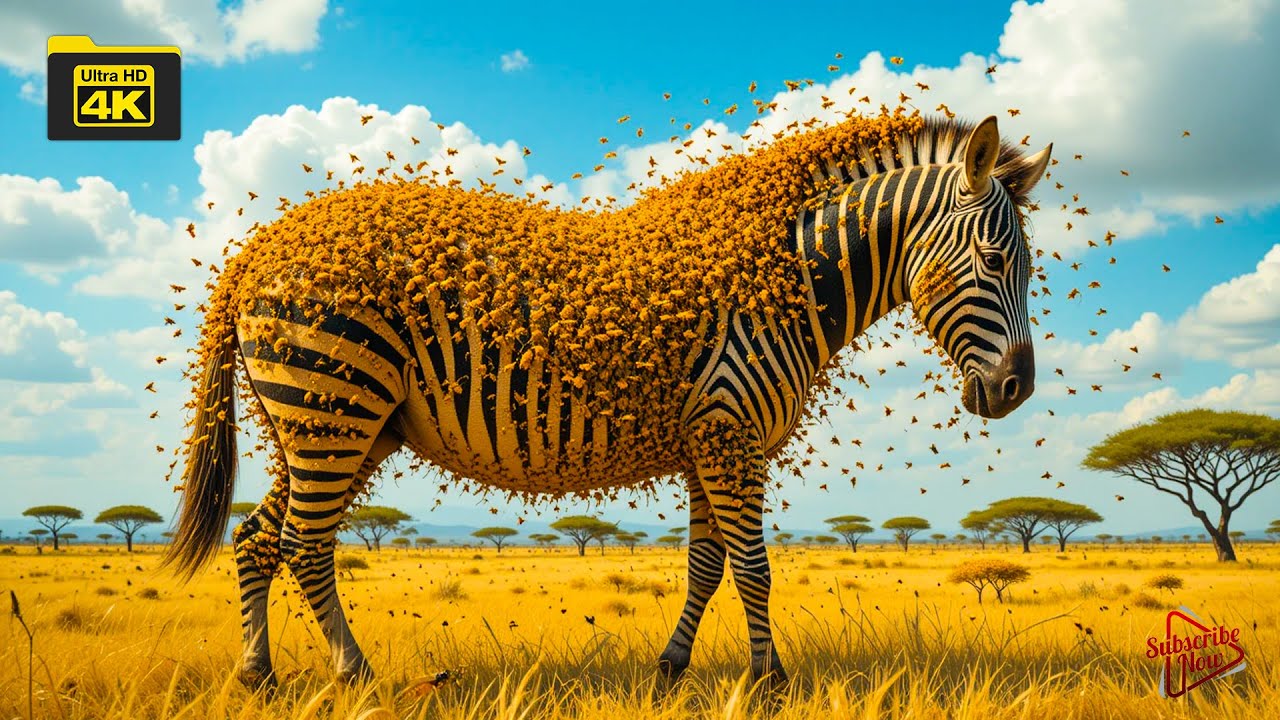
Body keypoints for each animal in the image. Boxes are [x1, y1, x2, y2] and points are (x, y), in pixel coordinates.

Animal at [164, 113, 1051, 691]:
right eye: (993, 258)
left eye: (1029, 269)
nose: (1018, 390)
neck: (789, 277)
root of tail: (254, 251)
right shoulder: (730, 431)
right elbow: (755, 568)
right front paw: (771, 684)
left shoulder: (707, 441)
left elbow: (706, 567)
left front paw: (673, 669)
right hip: (332, 404)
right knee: (304, 546)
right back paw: (355, 675)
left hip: (325, 422)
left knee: (255, 539)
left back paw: (258, 676)